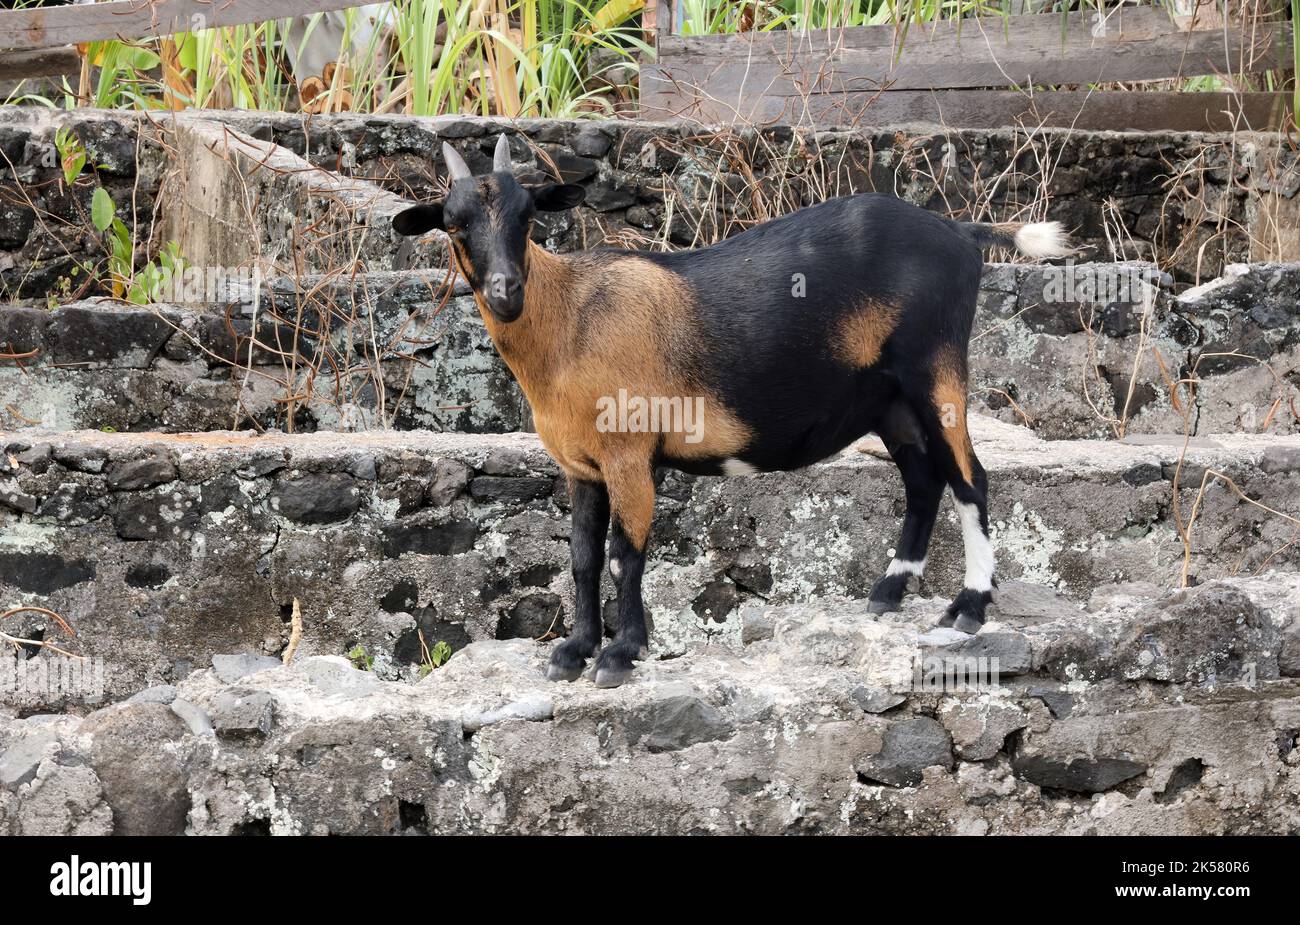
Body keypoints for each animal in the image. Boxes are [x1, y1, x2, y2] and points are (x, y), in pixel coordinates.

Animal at [392, 134, 1071, 688]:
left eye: (529, 216)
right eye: (453, 222)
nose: (506, 291)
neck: (571, 319)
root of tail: (960, 234)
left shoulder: (629, 454)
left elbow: (624, 555)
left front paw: (621, 654)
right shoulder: (581, 466)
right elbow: (582, 557)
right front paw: (573, 651)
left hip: (936, 371)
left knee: (969, 479)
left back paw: (969, 608)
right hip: (890, 402)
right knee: (924, 479)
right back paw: (888, 591)